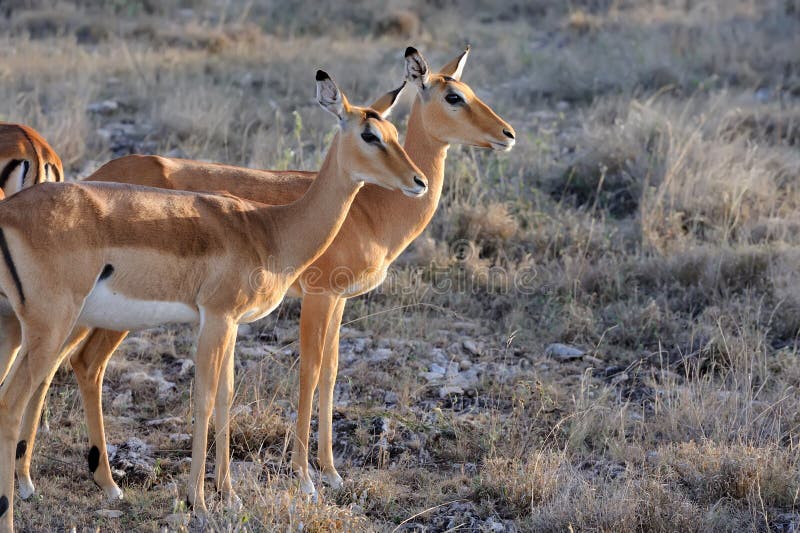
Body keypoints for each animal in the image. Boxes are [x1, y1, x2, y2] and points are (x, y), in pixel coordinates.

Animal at [13, 46, 516, 501]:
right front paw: (306, 478)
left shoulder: (338, 301)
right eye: (453, 96)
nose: (507, 134)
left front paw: (330, 472)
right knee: (75, 364)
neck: (371, 208)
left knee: (59, 365)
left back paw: (51, 479)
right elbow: (310, 373)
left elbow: (331, 372)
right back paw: (66, 481)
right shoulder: (318, 296)